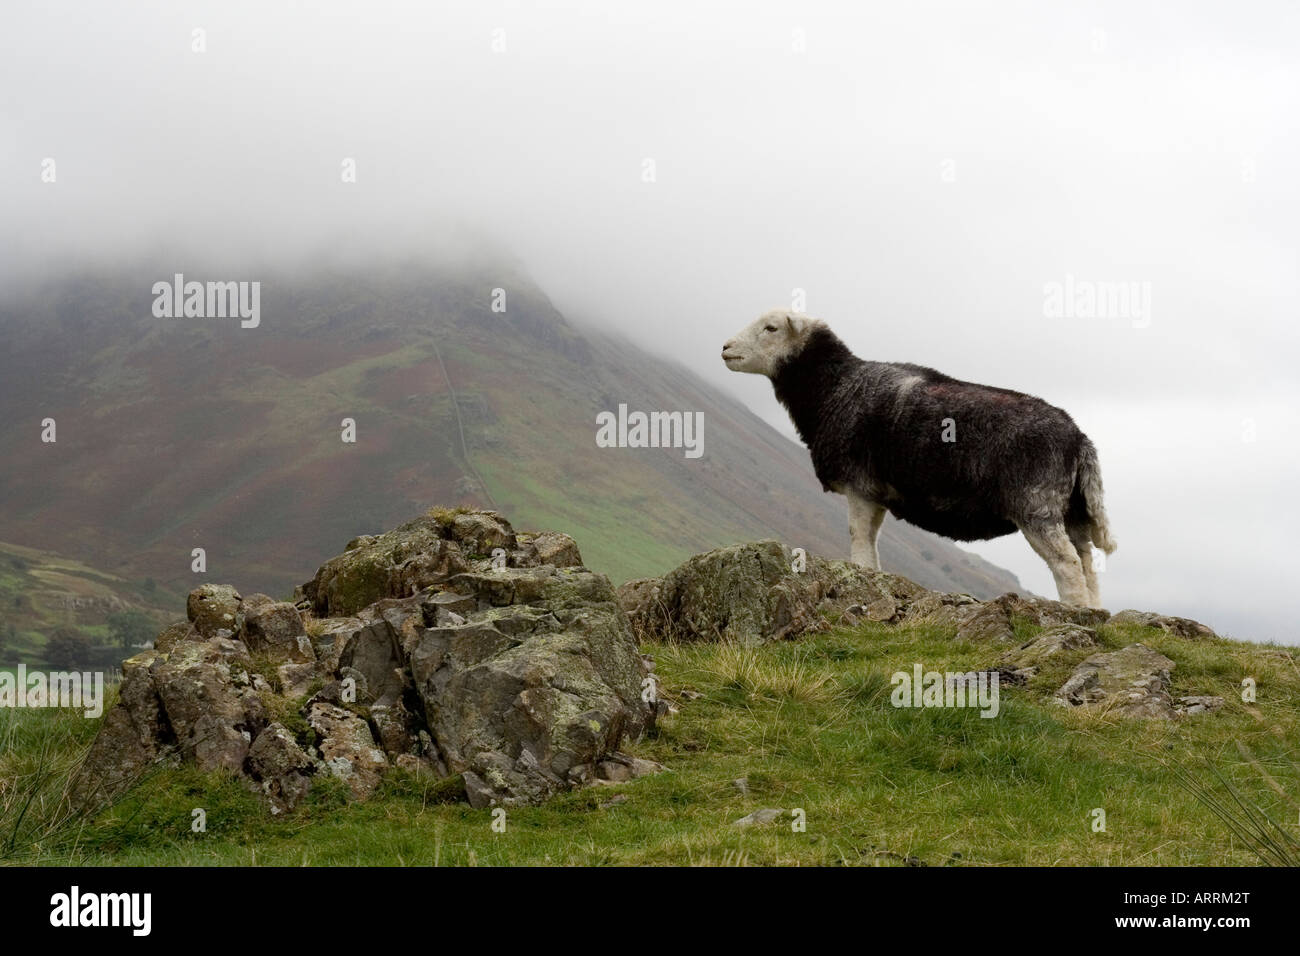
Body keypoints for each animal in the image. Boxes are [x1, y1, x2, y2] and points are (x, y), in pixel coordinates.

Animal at [721, 309, 1116, 608]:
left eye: (771, 328)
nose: (725, 348)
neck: (834, 387)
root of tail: (1078, 438)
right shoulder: (875, 494)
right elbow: (872, 543)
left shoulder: (859, 486)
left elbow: (859, 539)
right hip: (1074, 512)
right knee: (1087, 563)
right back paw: (1095, 612)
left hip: (1037, 506)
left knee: (1067, 564)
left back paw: (1075, 612)